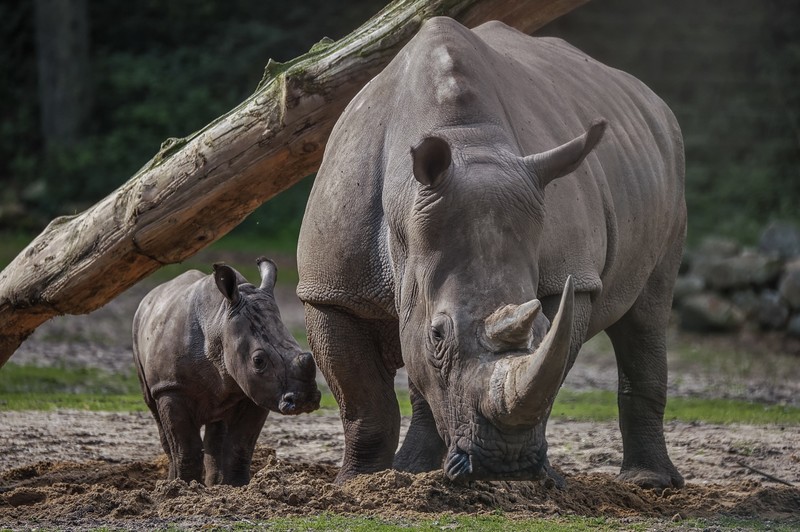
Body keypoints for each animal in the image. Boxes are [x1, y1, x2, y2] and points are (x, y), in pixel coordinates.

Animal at [133, 257, 321, 486]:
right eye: (258, 361)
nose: (305, 400)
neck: (219, 322)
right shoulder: (171, 387)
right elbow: (185, 448)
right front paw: (183, 487)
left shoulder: (256, 391)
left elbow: (240, 445)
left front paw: (237, 487)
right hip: (139, 332)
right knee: (158, 417)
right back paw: (172, 482)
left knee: (217, 428)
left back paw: (214, 485)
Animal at [297, 17, 686, 489]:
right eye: (438, 334)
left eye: (542, 325)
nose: (506, 463)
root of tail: (653, 101)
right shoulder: (331, 289)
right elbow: (365, 402)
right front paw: (358, 485)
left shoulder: (570, 278)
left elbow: (550, 359)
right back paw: (414, 469)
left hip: (670, 159)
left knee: (648, 311)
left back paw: (647, 483)